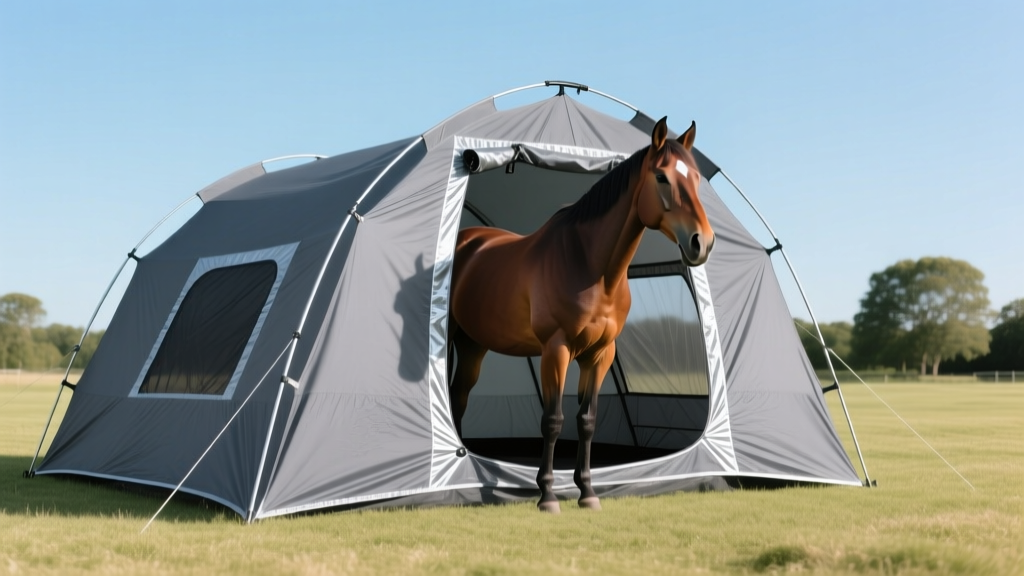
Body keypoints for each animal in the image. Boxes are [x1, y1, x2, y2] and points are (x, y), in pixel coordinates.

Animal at [448, 117, 714, 513]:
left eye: (696, 178)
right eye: (662, 177)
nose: (702, 242)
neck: (591, 267)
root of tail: (467, 240)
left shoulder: (600, 354)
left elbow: (586, 420)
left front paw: (588, 493)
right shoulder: (555, 350)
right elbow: (554, 420)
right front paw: (547, 496)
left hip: (473, 346)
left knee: (460, 397)